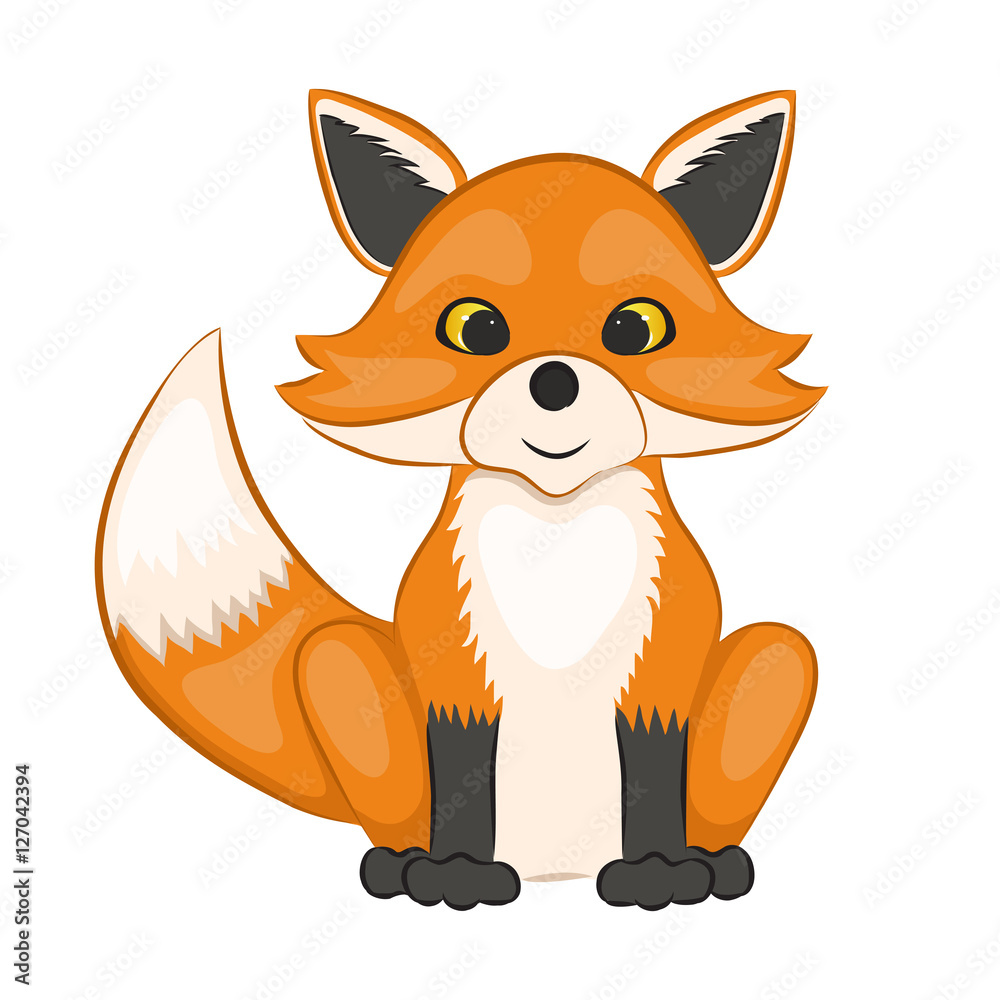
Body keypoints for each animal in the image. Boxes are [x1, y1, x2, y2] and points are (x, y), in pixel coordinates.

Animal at [96, 89, 823, 910]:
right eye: (475, 328)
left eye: (636, 328)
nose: (554, 381)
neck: (553, 544)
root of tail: (556, 872)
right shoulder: (454, 672)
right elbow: (463, 782)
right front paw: (456, 874)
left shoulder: (662, 669)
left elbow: (656, 779)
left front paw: (661, 871)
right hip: (337, 658)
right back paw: (402, 862)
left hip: (779, 655)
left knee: (772, 662)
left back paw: (712, 861)